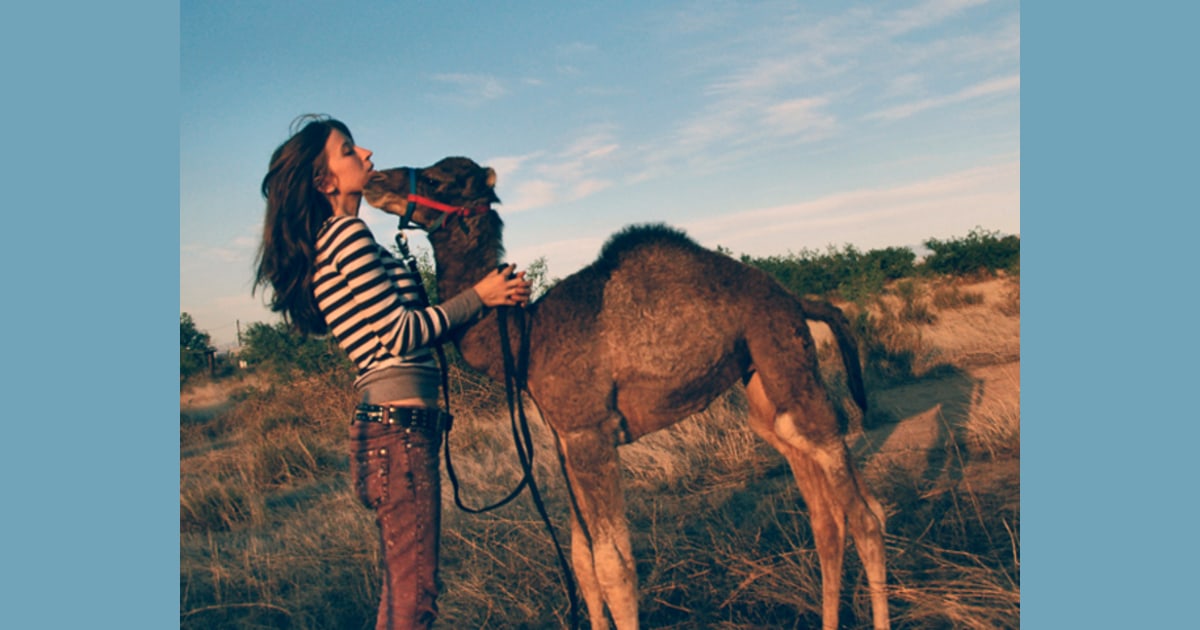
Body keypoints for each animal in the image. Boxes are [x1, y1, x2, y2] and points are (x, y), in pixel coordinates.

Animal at [363, 157, 890, 630]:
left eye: (436, 178)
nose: (375, 178)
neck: (526, 338)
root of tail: (795, 299)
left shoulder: (590, 435)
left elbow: (613, 566)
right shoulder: (564, 443)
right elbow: (582, 561)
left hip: (785, 354)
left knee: (864, 514)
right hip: (764, 379)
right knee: (827, 511)